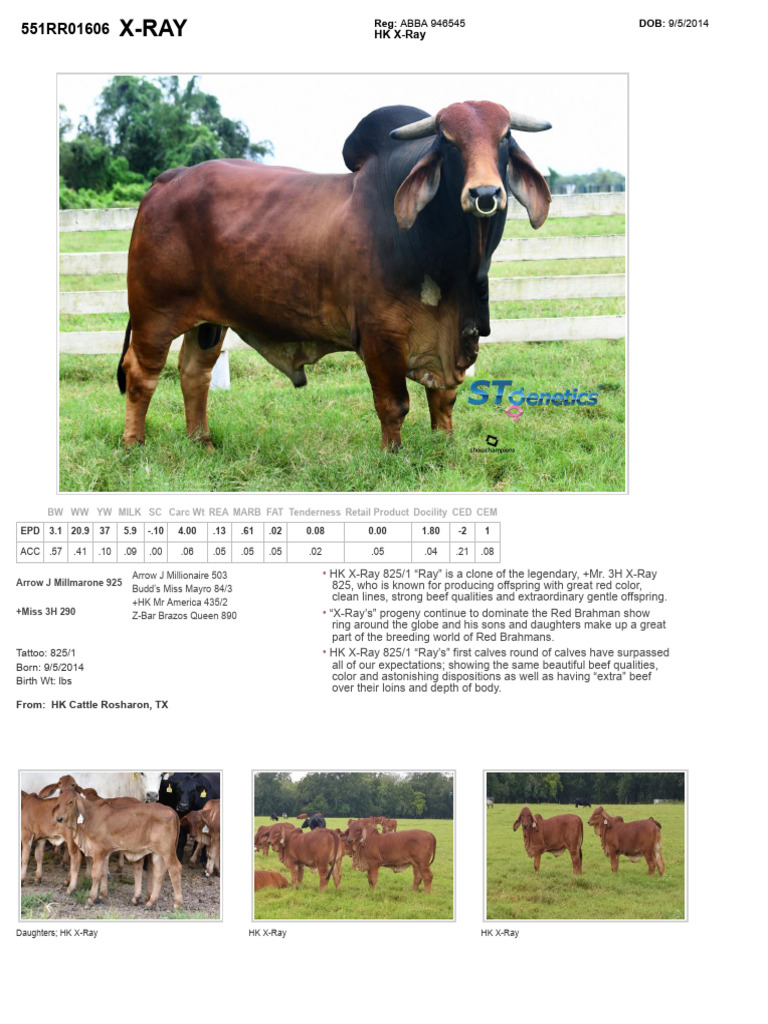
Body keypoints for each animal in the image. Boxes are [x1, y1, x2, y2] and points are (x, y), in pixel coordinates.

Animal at [53, 789, 183, 909]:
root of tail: (171, 810)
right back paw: (151, 902)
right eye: (58, 802)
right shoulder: (105, 852)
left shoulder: (99, 850)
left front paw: (91, 898)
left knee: (175, 869)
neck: (90, 816)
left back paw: (177, 903)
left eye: (70, 802)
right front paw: (102, 895)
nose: (59, 818)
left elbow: (96, 874)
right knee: (159, 873)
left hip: (167, 851)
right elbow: (104, 872)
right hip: (157, 853)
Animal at [118, 100, 551, 451]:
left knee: (195, 372)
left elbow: (443, 398)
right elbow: (394, 404)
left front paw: (444, 444)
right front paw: (392, 454)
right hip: (154, 314)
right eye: (447, 141)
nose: (484, 194)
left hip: (209, 321)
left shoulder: (453, 337)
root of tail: (167, 180)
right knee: (142, 375)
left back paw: (202, 443)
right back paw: (134, 444)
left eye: (504, 137)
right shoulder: (380, 334)